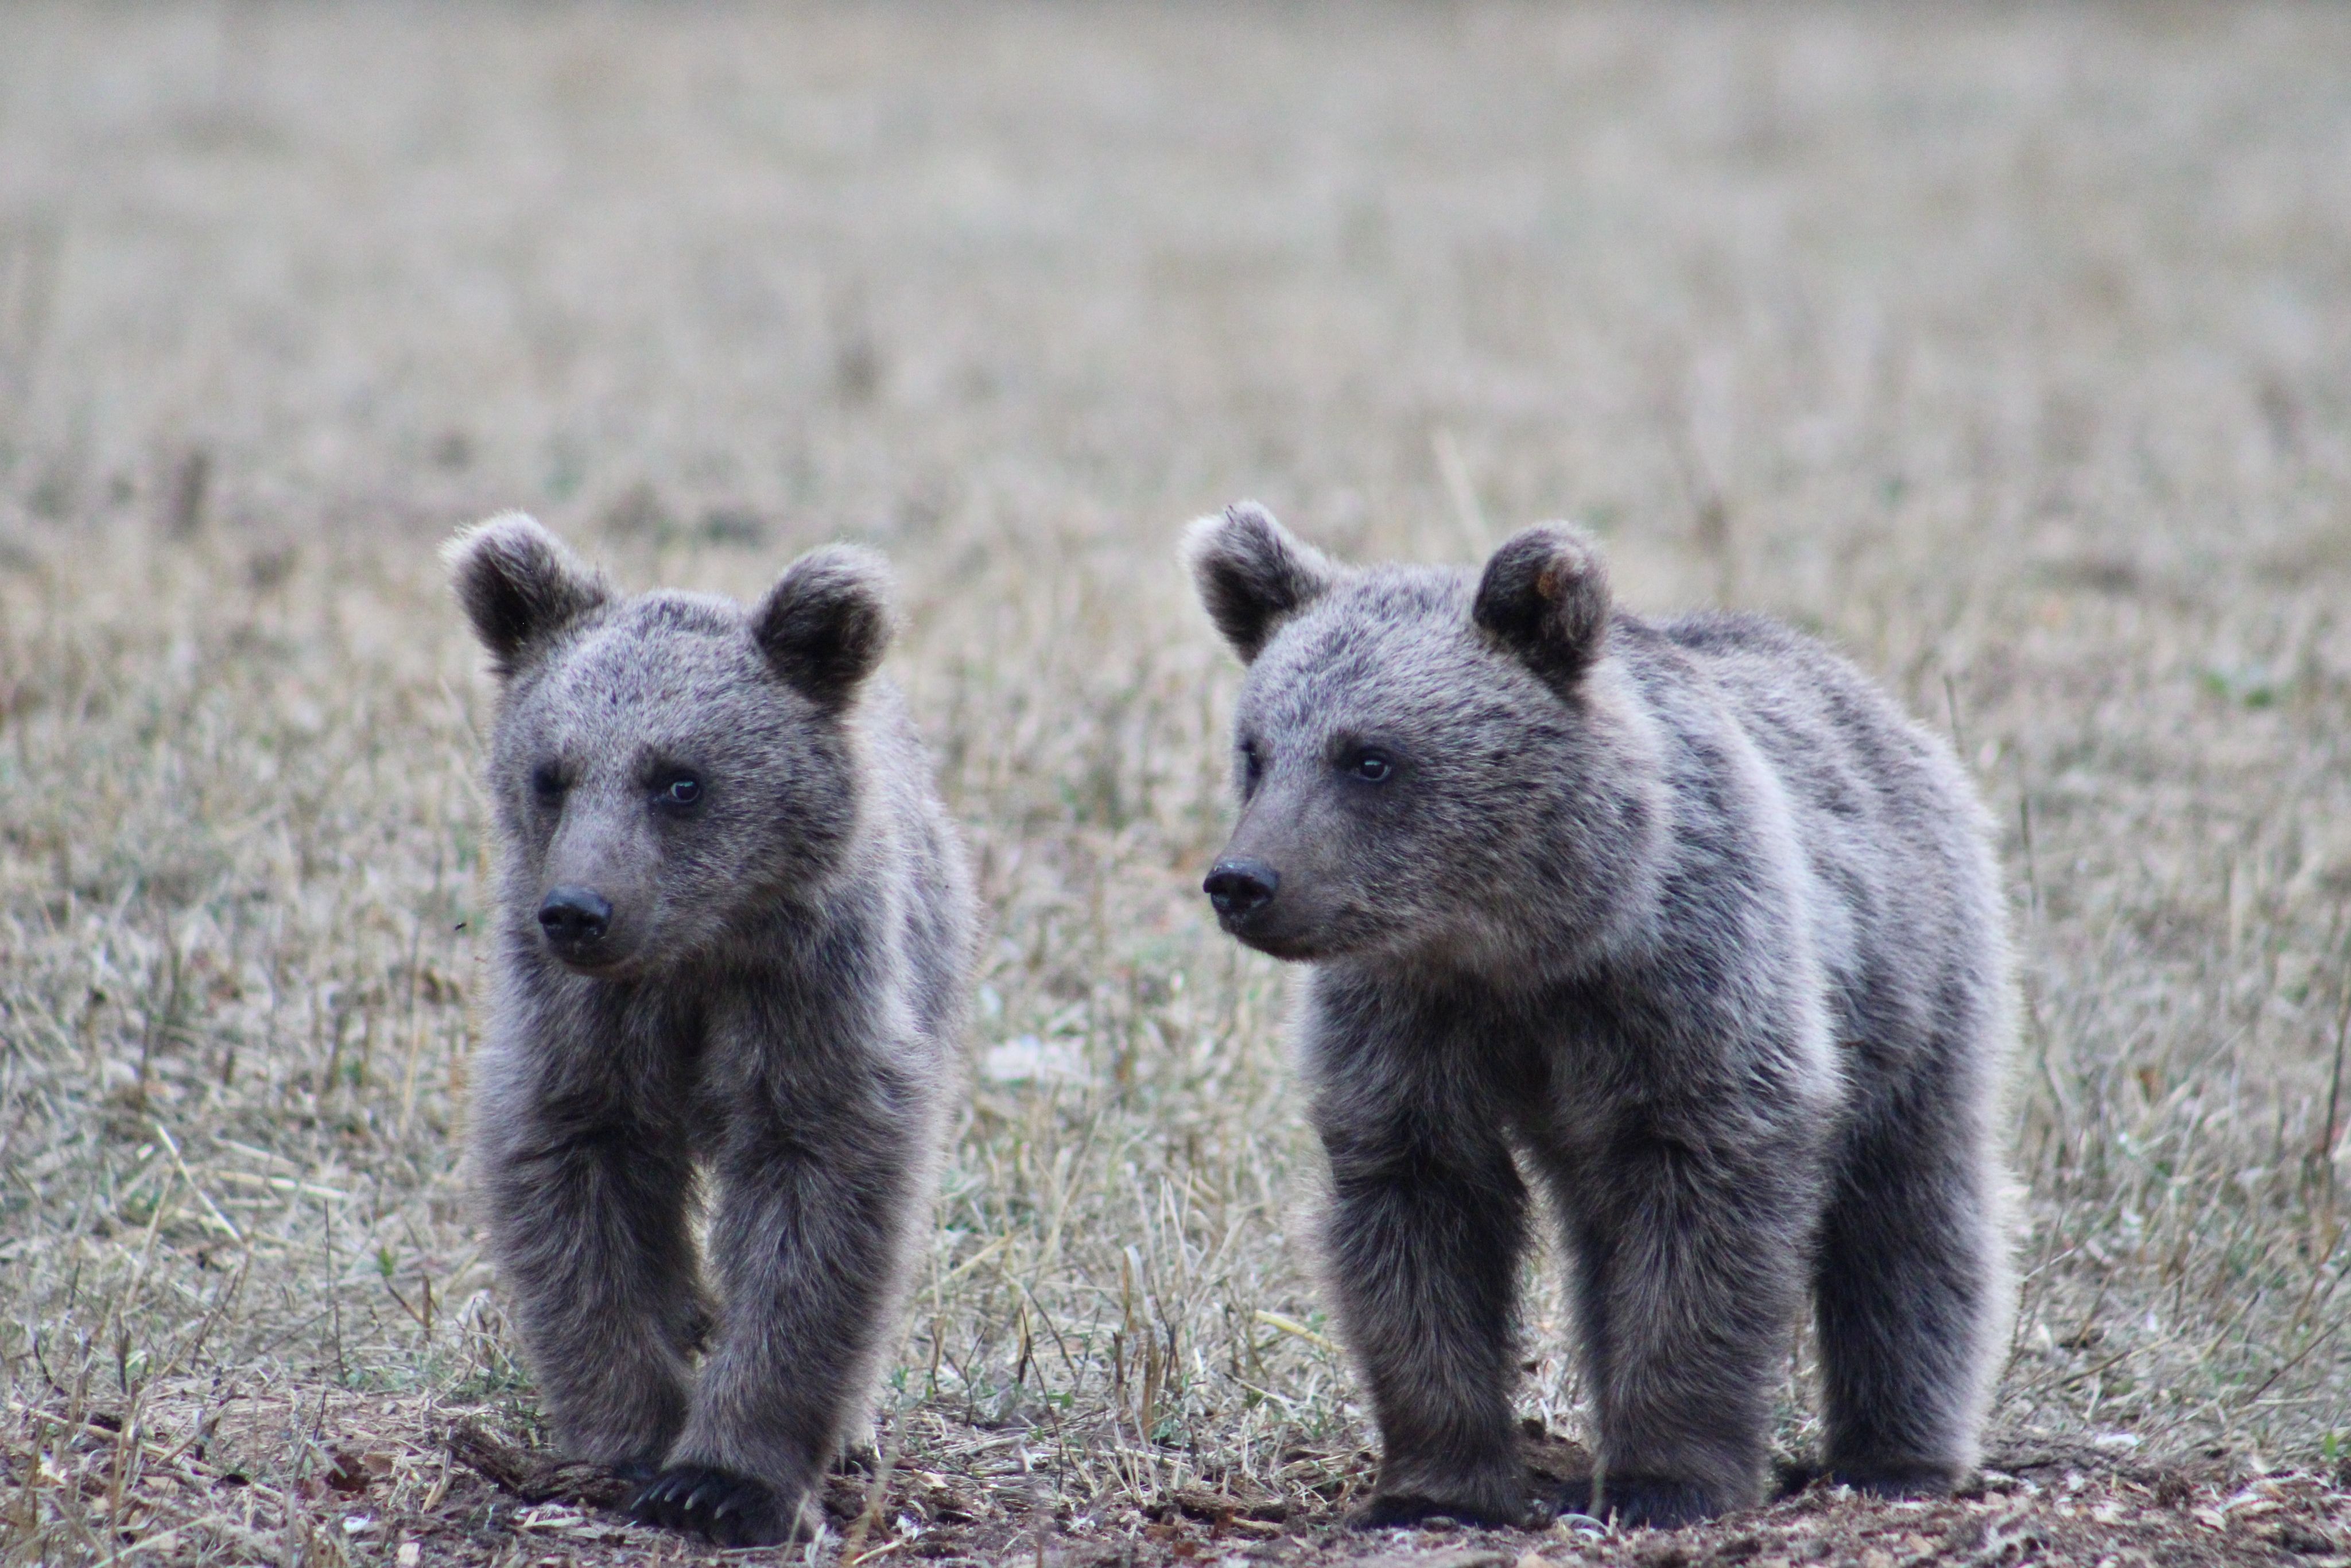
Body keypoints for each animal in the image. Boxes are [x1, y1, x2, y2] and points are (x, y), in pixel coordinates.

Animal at [446, 514, 976, 1546]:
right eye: (552, 774)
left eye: (680, 780)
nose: (578, 911)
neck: (695, 951)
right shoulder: (582, 1024)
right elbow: (578, 1191)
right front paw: (631, 1434)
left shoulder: (804, 997)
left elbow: (818, 1207)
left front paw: (722, 1480)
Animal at [1185, 502, 2013, 1530]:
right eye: (1256, 752)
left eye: (1370, 758)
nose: (1242, 882)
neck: (1528, 947)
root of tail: (1877, 704)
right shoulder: (1409, 1021)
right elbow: (1418, 1215)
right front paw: (1434, 1485)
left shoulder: (1689, 994)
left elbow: (1708, 1218)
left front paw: (1670, 1478)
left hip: (1916, 978)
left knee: (1909, 1212)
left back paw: (1898, 1455)